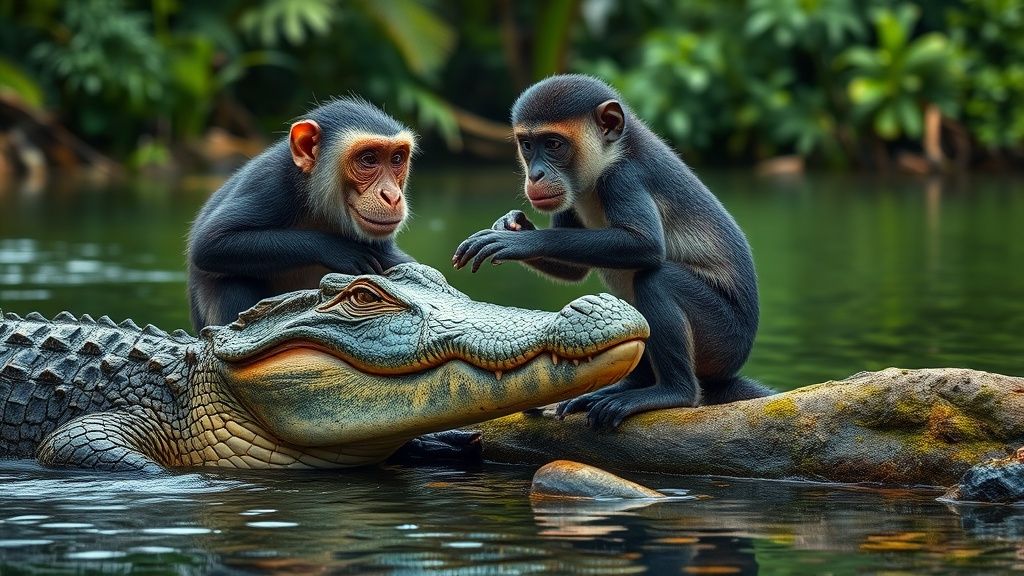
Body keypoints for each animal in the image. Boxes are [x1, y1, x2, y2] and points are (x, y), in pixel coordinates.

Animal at [187, 97, 417, 331]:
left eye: (396, 158)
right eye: (369, 159)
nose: (391, 195)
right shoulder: (272, 184)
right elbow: (211, 242)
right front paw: (340, 251)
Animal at [453, 74, 773, 429]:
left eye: (553, 145)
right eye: (527, 145)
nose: (535, 174)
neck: (611, 155)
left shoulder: (624, 177)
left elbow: (646, 246)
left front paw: (516, 242)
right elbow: (572, 271)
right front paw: (512, 225)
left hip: (725, 339)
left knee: (658, 280)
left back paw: (671, 392)